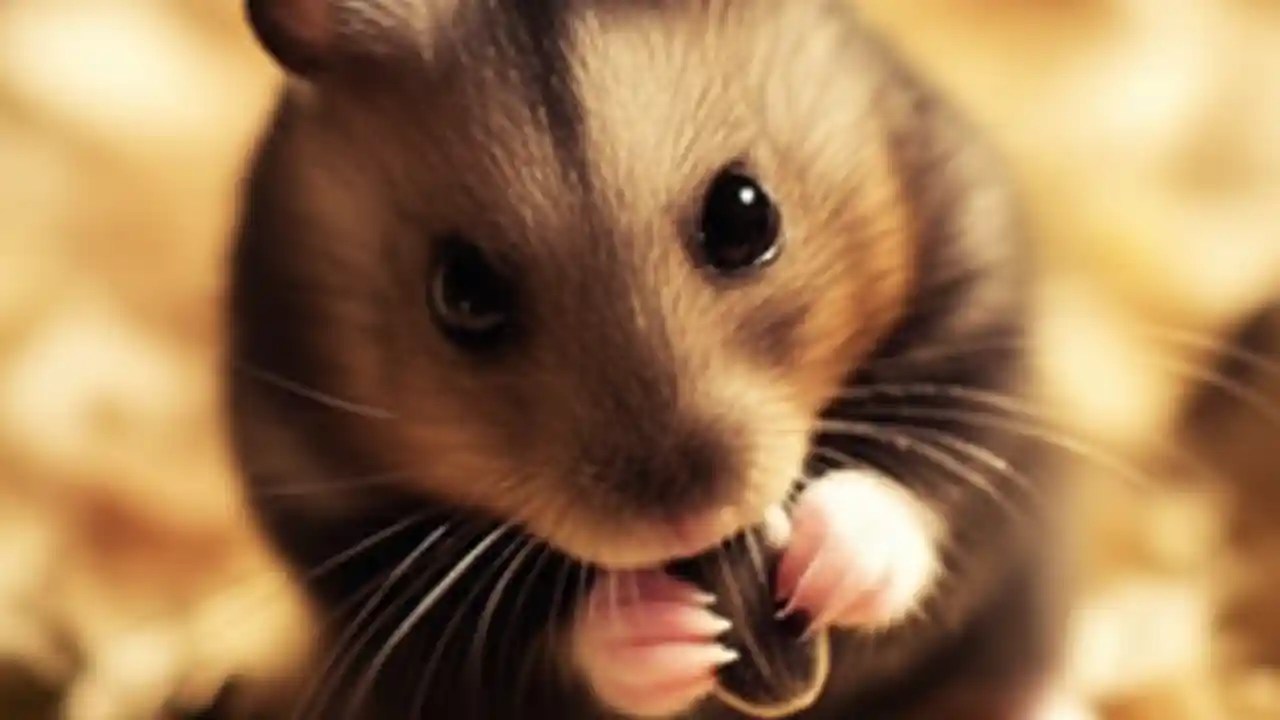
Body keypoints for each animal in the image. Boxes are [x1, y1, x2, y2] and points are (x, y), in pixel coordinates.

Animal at [226, 1, 1064, 718]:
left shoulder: (979, 320)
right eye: (460, 292)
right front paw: (675, 635)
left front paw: (832, 560)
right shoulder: (340, 527)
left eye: (743, 214)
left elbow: (925, 485)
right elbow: (531, 643)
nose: (689, 523)